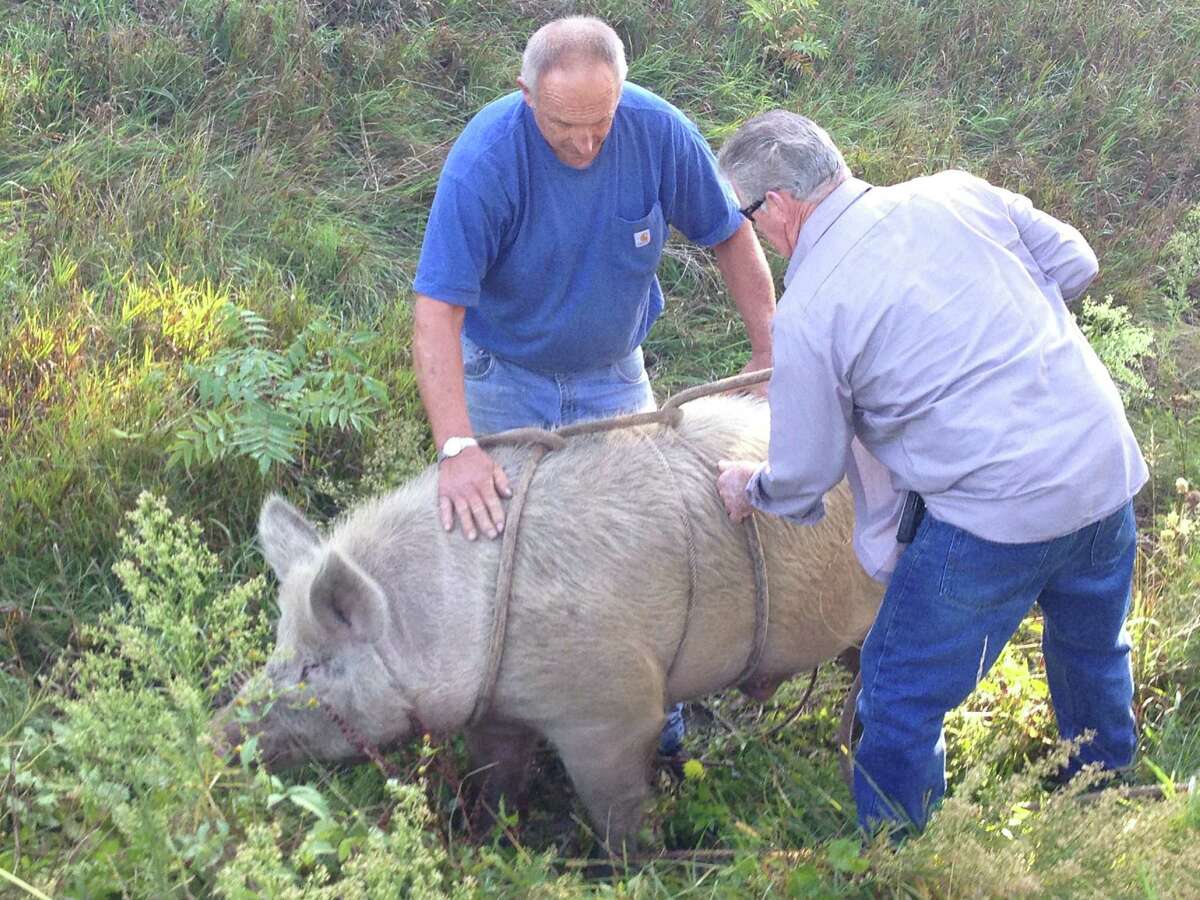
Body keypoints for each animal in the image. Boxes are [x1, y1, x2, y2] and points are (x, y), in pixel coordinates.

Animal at [217, 394, 884, 851]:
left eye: (317, 665)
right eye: (278, 647)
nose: (219, 734)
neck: (459, 617)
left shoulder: (613, 709)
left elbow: (614, 802)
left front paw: (630, 863)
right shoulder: (495, 708)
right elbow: (495, 777)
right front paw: (490, 839)